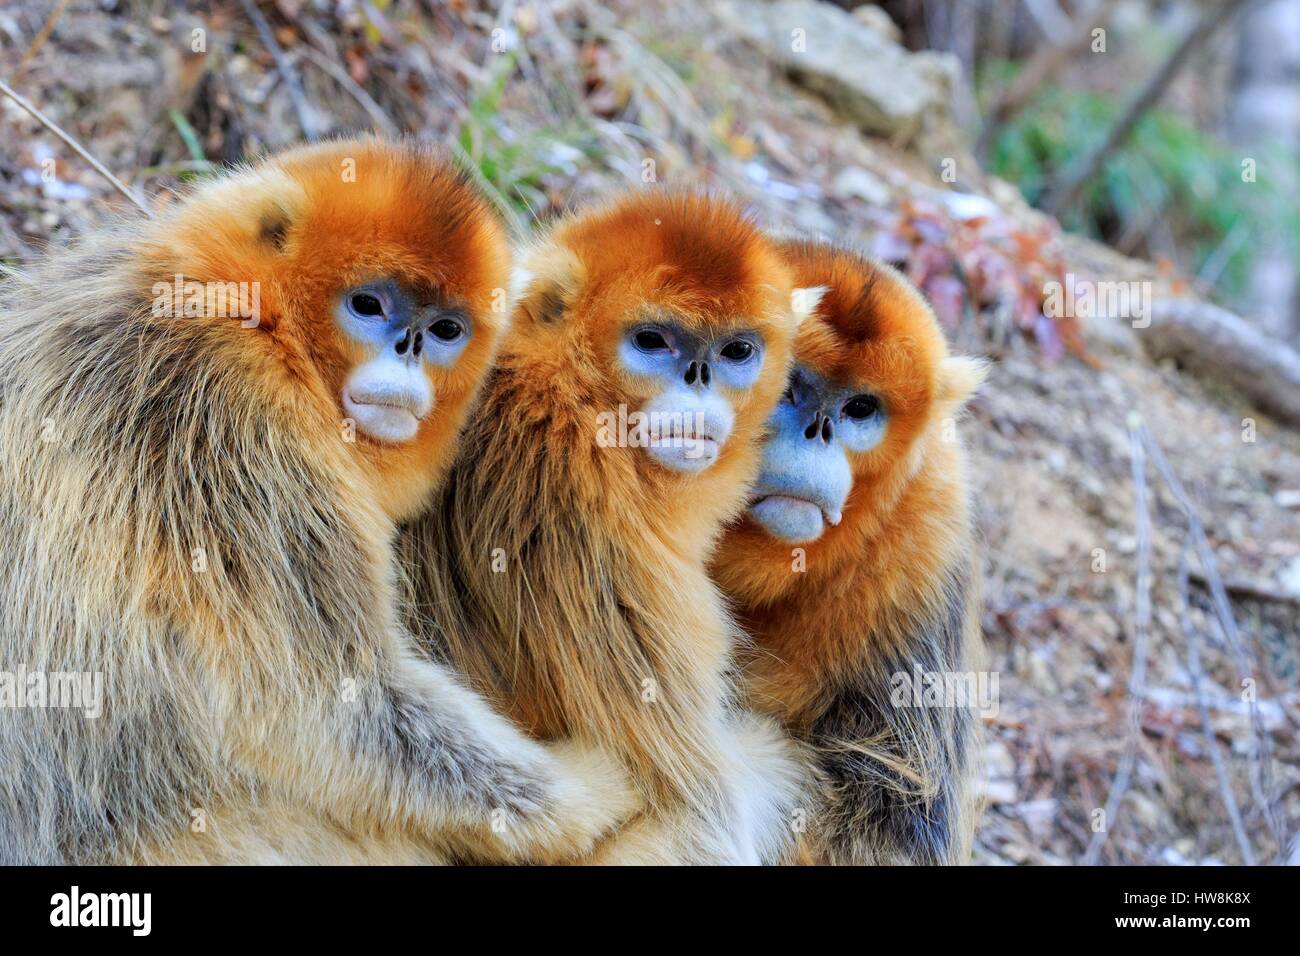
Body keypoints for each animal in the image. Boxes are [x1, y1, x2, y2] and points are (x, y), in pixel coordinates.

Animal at [0, 138, 636, 865]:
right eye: (368, 306)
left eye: (445, 329)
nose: (410, 347)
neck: (251, 317)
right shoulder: (242, 425)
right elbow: (325, 711)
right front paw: (590, 791)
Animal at [399, 192, 822, 864]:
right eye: (652, 342)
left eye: (736, 351)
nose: (700, 377)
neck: (573, 399)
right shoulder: (590, 519)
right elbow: (702, 814)